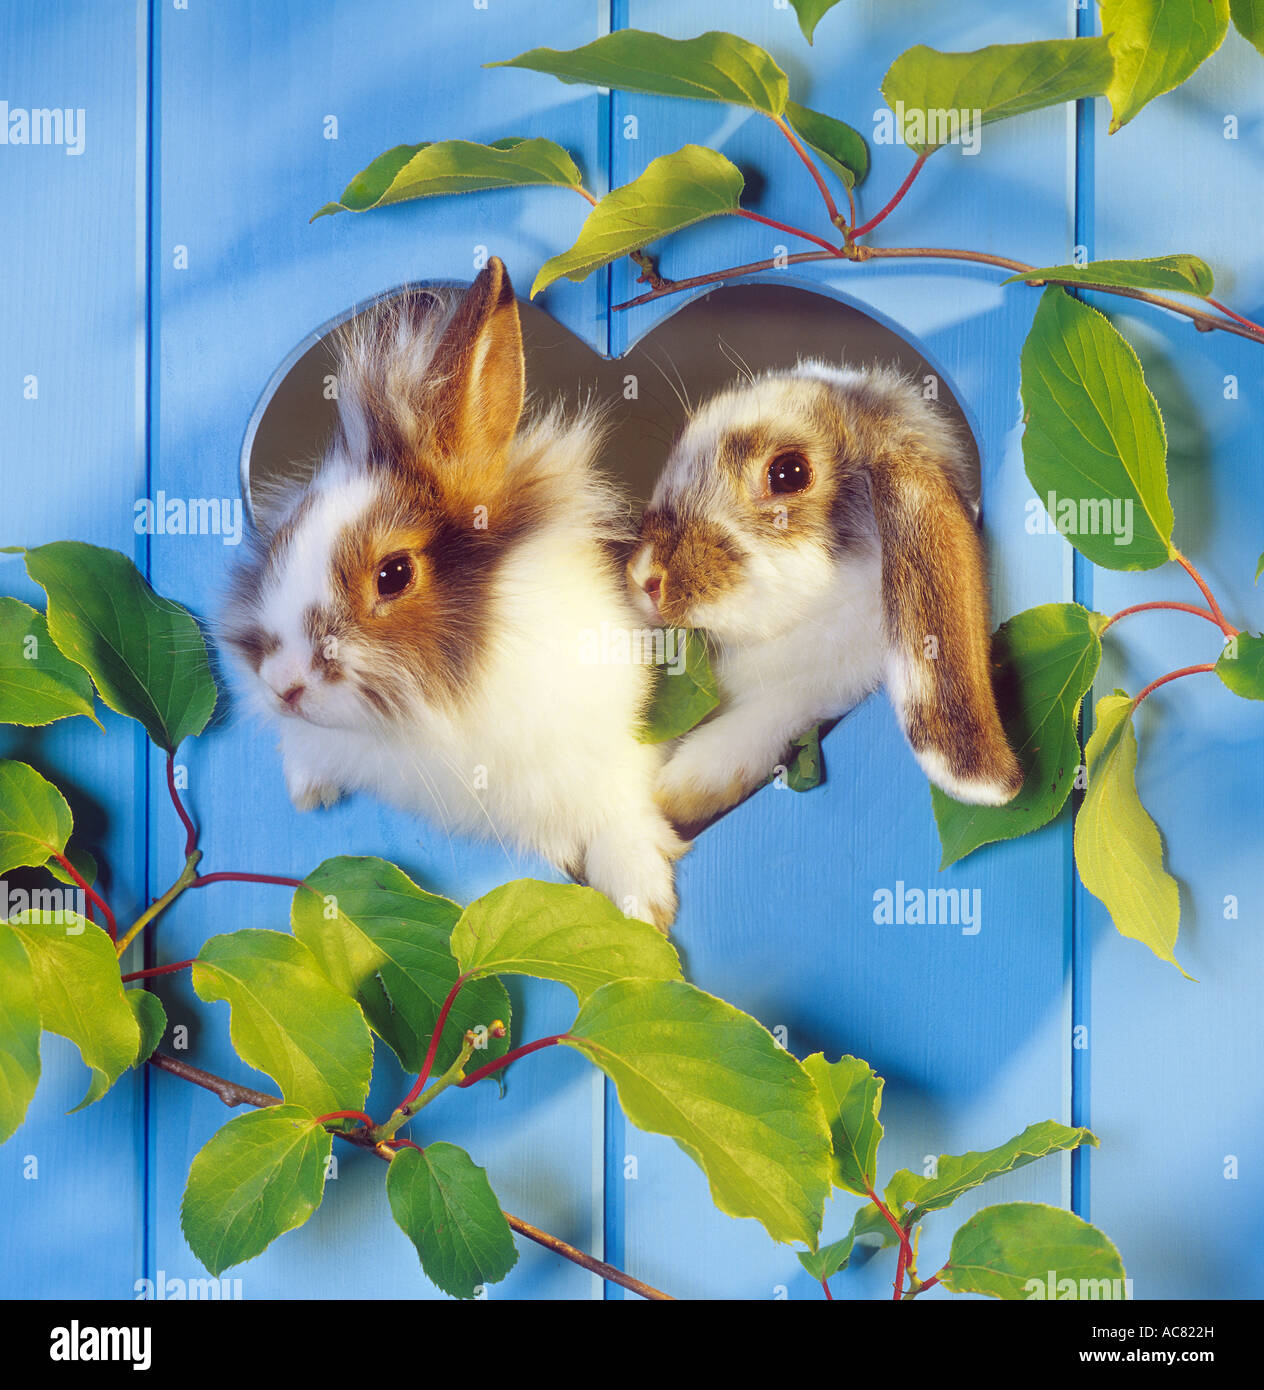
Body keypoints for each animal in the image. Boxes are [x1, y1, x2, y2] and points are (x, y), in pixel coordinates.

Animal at [222, 258, 685, 928]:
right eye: (281, 540)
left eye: (393, 574)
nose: (284, 687)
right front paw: (309, 791)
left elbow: (619, 815)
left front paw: (642, 906)